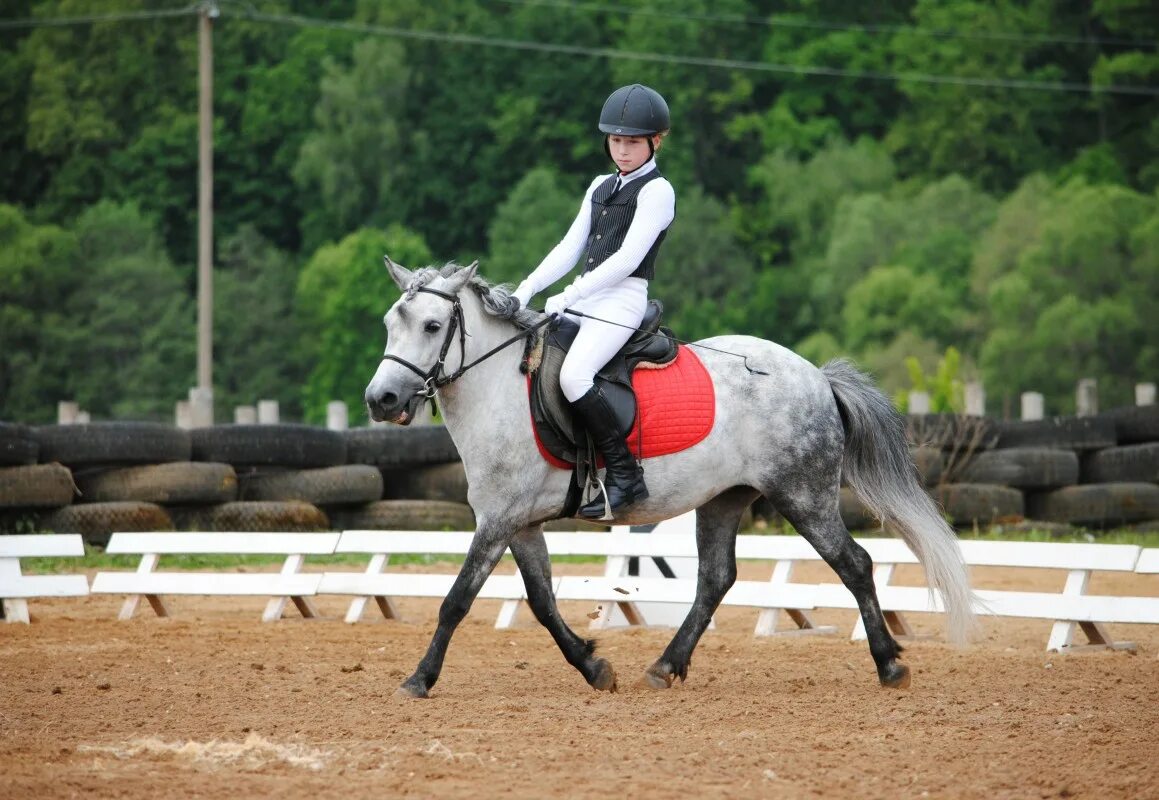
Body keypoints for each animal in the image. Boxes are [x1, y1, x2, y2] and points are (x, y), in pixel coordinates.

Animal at [363, 258, 978, 695]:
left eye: (434, 325)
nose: (380, 400)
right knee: (716, 579)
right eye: (390, 323)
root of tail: (816, 376)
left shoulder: (498, 521)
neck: (501, 390)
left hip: (802, 494)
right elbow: (541, 602)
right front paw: (594, 667)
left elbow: (457, 600)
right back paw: (665, 666)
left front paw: (419, 679)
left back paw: (889, 665)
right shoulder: (518, 523)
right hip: (725, 498)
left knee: (854, 564)